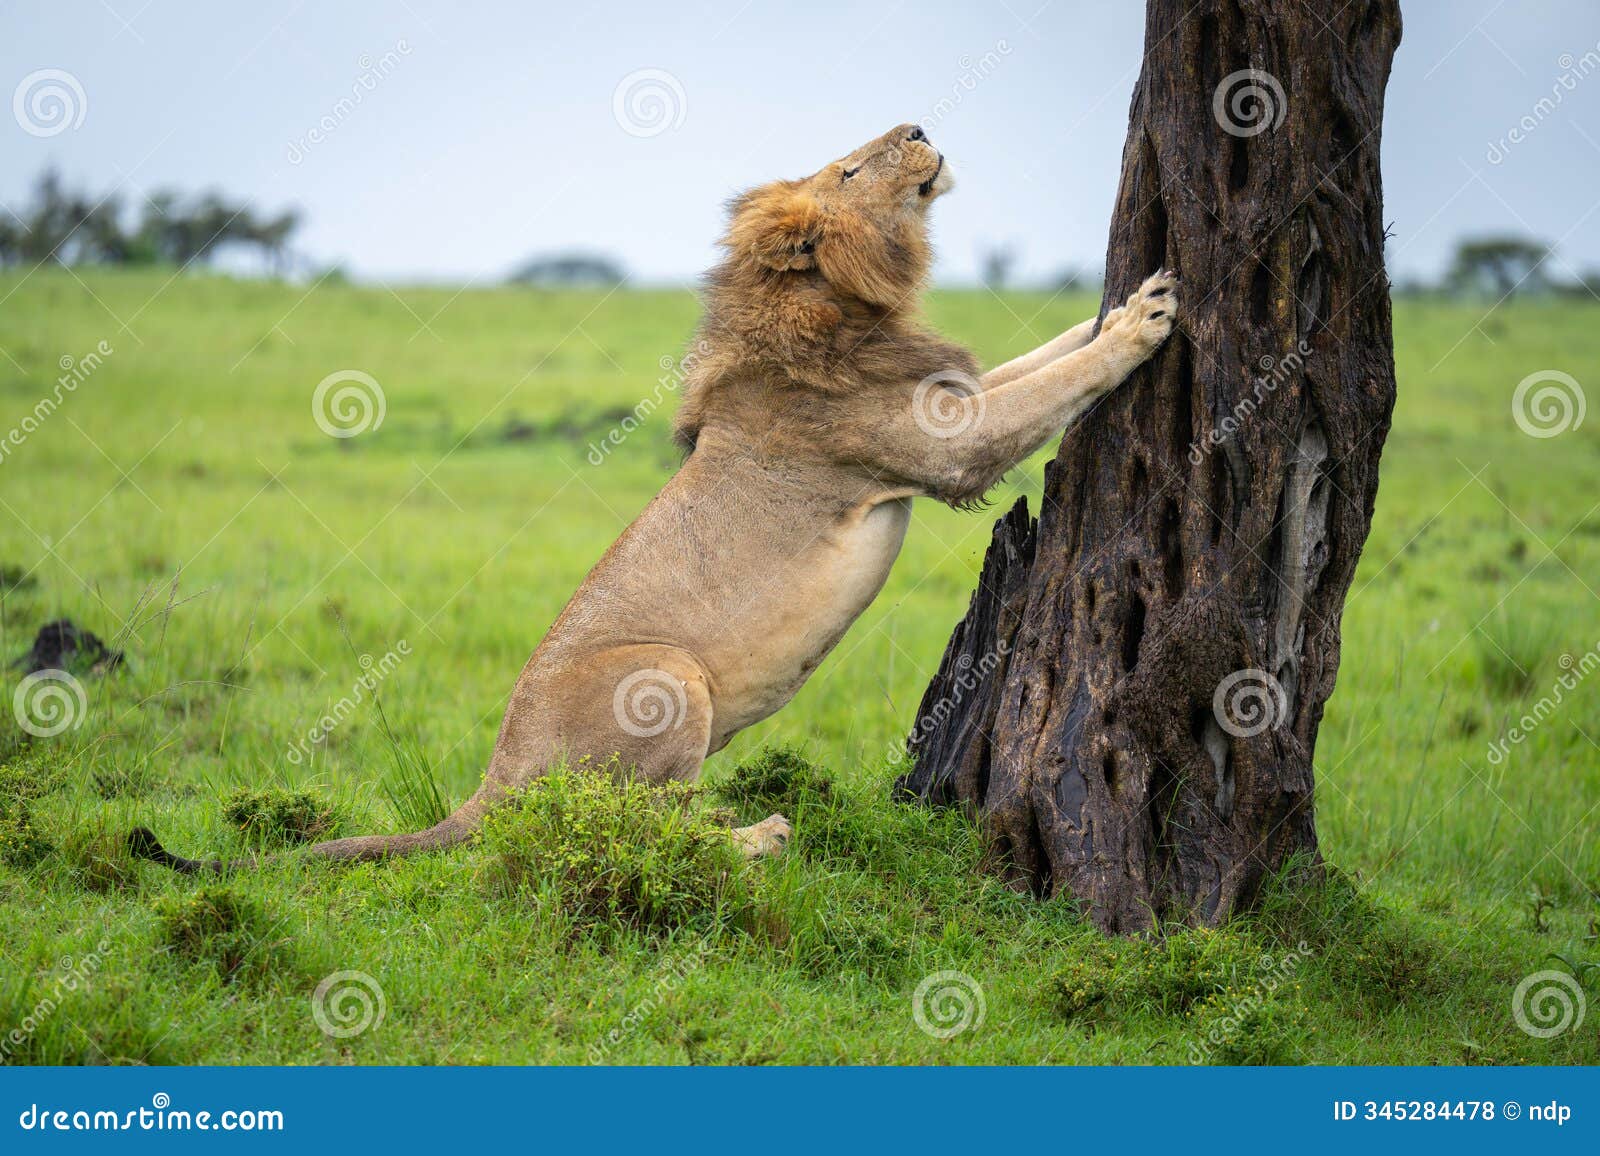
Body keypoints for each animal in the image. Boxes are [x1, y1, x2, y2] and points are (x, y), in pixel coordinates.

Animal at [131, 123, 1177, 873]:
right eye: (849, 169)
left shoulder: (946, 398)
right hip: (667, 675)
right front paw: (1145, 319)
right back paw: (760, 838)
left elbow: (1045, 357)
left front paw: (1111, 302)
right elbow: (1050, 388)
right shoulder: (937, 446)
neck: (843, 308)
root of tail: (495, 776)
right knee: (631, 828)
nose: (919, 124)